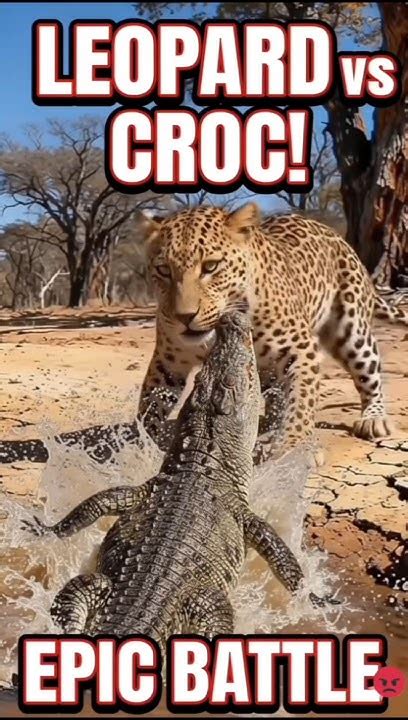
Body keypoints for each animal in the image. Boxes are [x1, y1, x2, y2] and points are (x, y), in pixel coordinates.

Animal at [137, 202, 408, 465]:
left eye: (210, 266)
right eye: (163, 270)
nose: (184, 316)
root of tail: (338, 237)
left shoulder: (300, 349)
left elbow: (300, 402)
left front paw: (292, 448)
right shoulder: (168, 361)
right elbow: (150, 405)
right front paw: (139, 443)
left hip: (352, 330)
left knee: (369, 370)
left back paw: (374, 418)